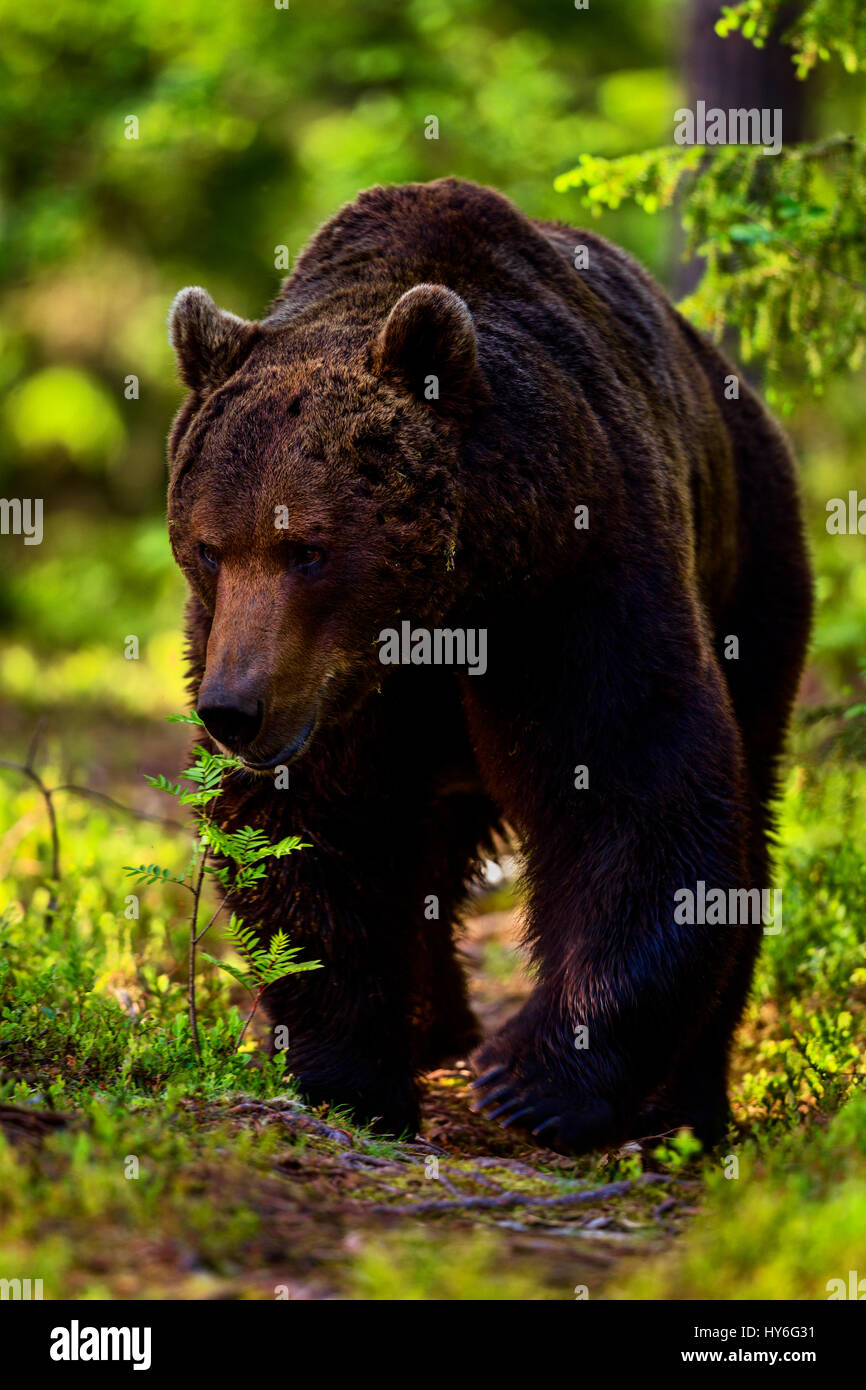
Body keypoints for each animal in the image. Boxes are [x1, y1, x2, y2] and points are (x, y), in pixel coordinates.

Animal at [166, 177, 812, 1152]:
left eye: (307, 550)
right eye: (210, 546)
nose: (232, 709)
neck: (442, 603)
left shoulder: (575, 577)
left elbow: (633, 779)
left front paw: (533, 1078)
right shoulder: (329, 687)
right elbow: (308, 823)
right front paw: (353, 1073)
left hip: (754, 563)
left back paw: (685, 1104)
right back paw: (439, 1022)